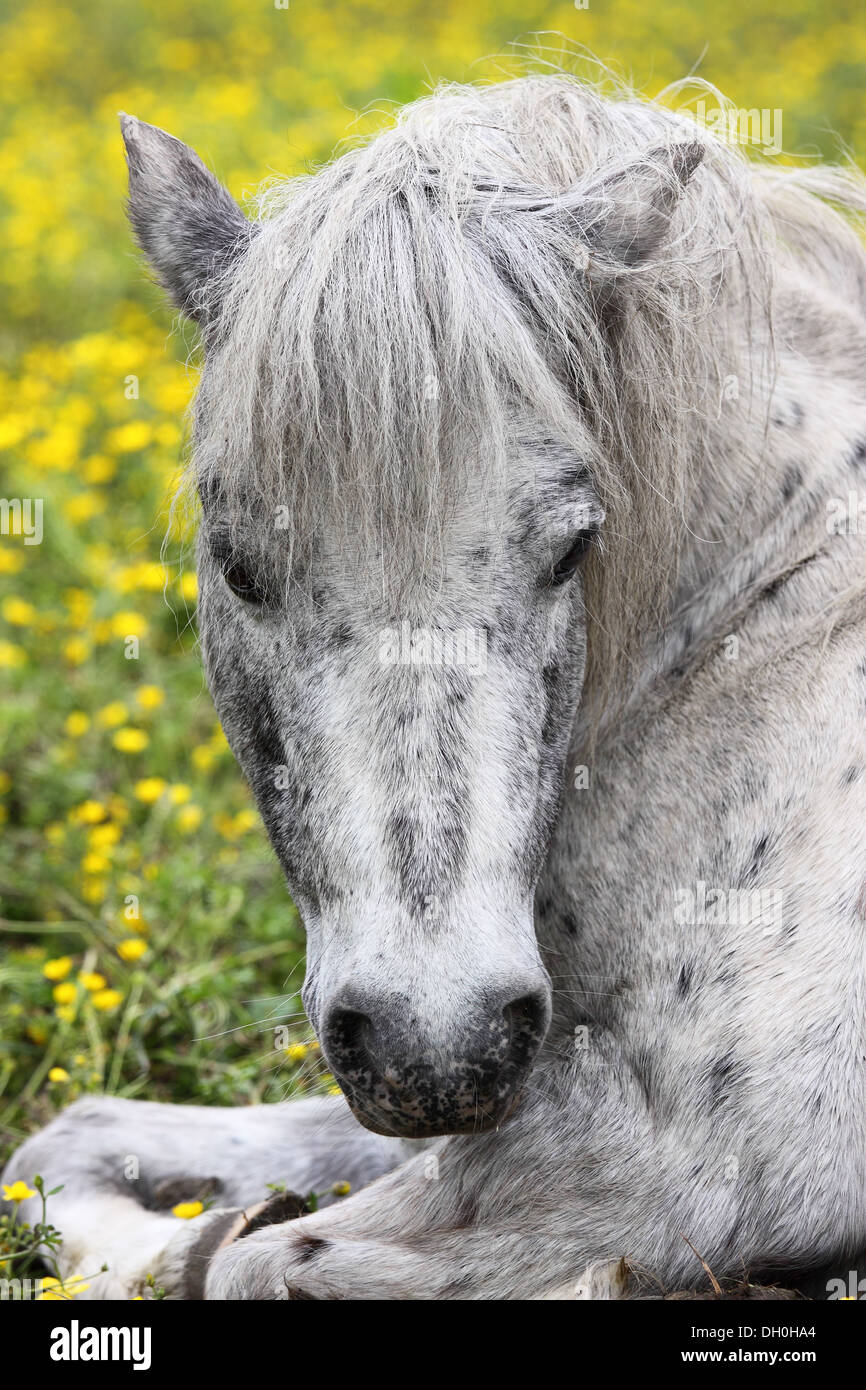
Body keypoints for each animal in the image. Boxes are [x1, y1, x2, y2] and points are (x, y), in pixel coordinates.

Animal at [5, 71, 866, 1300]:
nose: (439, 1048)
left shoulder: (695, 1167)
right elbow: (77, 1138)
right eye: (237, 564)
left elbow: (253, 1262)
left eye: (572, 548)